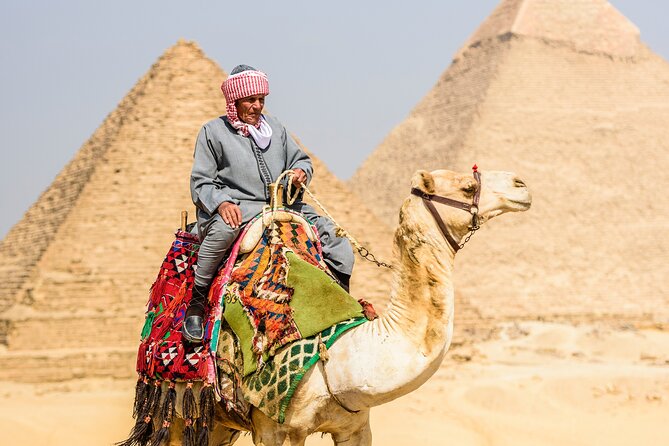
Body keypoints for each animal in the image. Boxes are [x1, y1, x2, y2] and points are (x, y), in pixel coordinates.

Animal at [166, 167, 531, 445]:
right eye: (467, 186)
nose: (521, 184)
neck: (341, 357)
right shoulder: (275, 429)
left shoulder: (356, 427)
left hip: (216, 421)